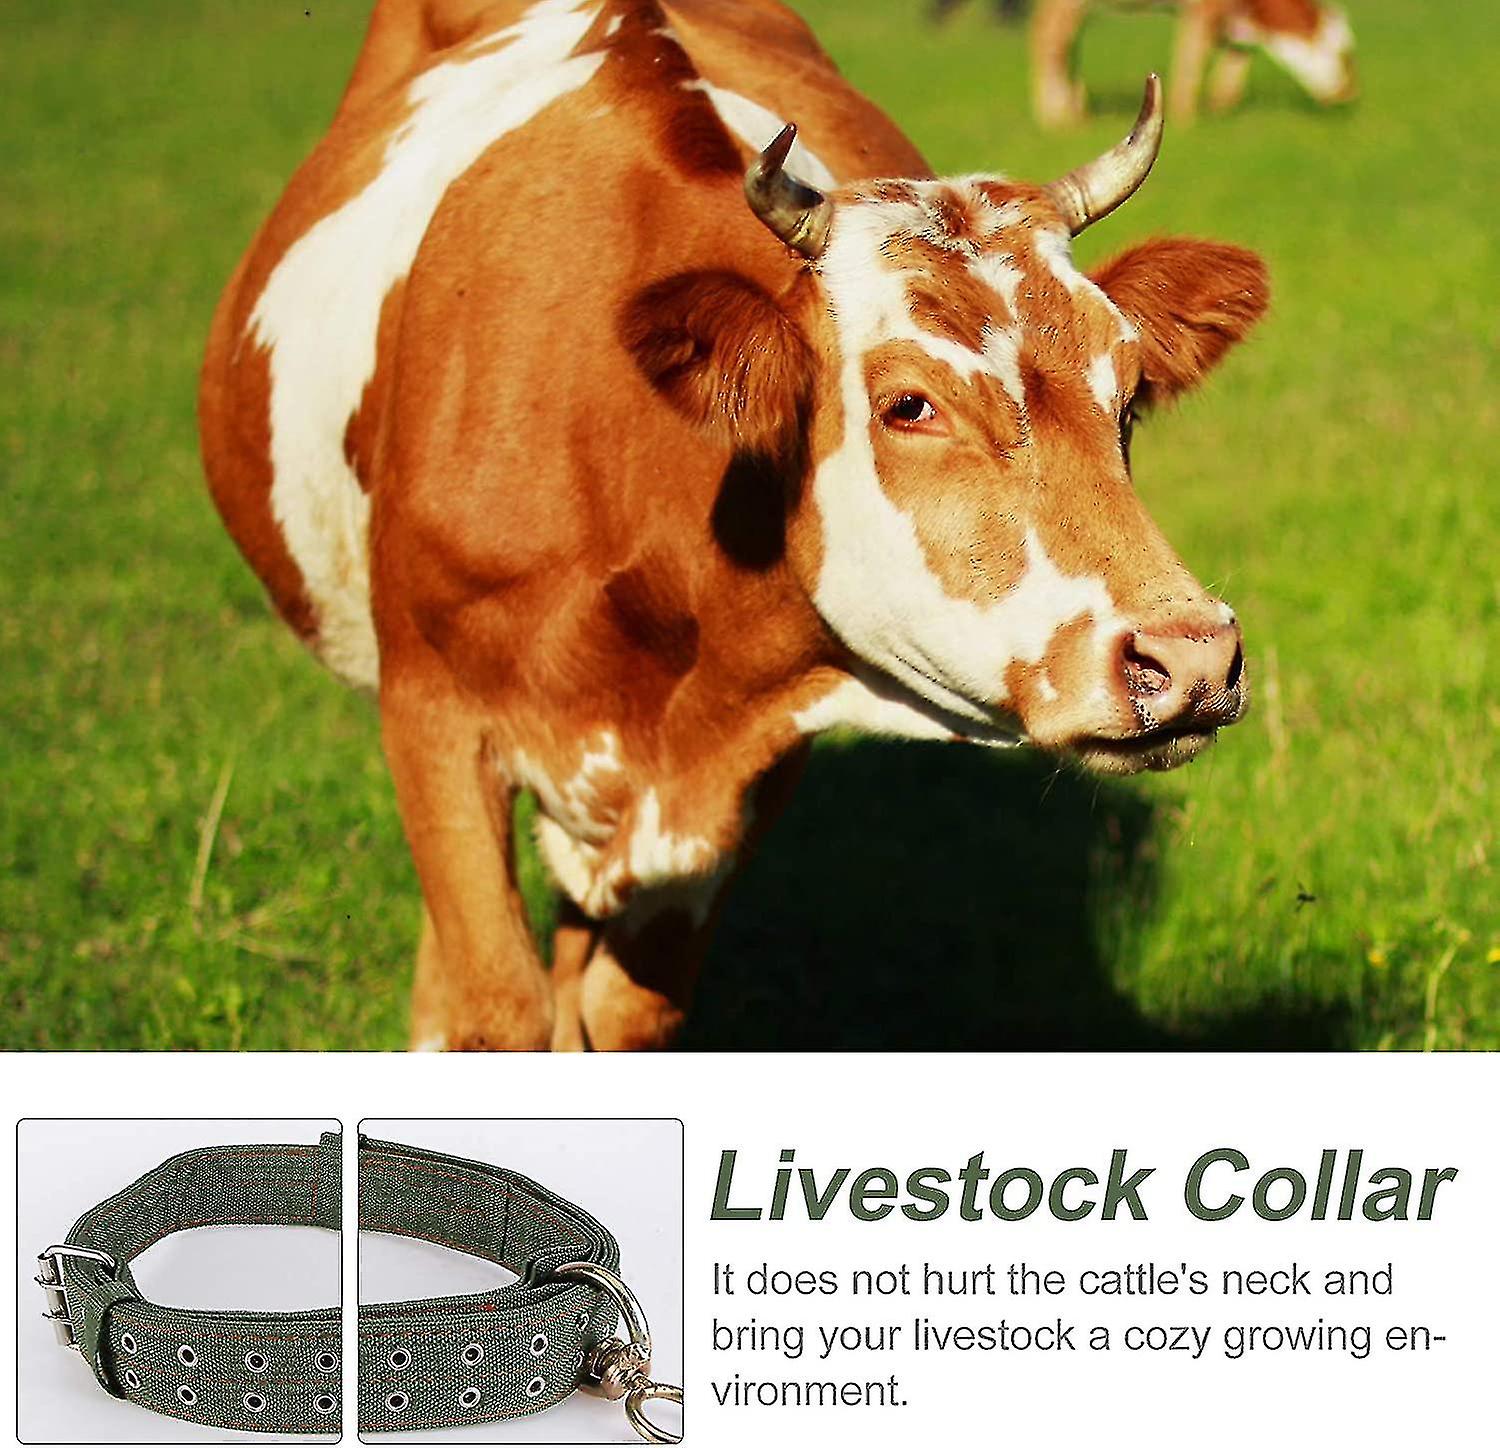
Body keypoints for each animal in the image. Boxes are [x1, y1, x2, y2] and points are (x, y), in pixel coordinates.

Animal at [200, 0, 1269, 1052]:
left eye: (1128, 398)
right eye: (910, 405)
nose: (1192, 656)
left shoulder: (741, 773)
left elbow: (621, 1010)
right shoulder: (432, 719)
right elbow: (495, 1006)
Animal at [1029, 0, 1357, 127]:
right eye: (1345, 56)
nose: (1349, 95)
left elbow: (1236, 60)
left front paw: (1220, 106)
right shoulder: (1204, 9)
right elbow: (1192, 58)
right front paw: (1185, 118)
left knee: (1064, 43)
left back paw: (1076, 111)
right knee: (1049, 37)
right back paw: (1056, 119)